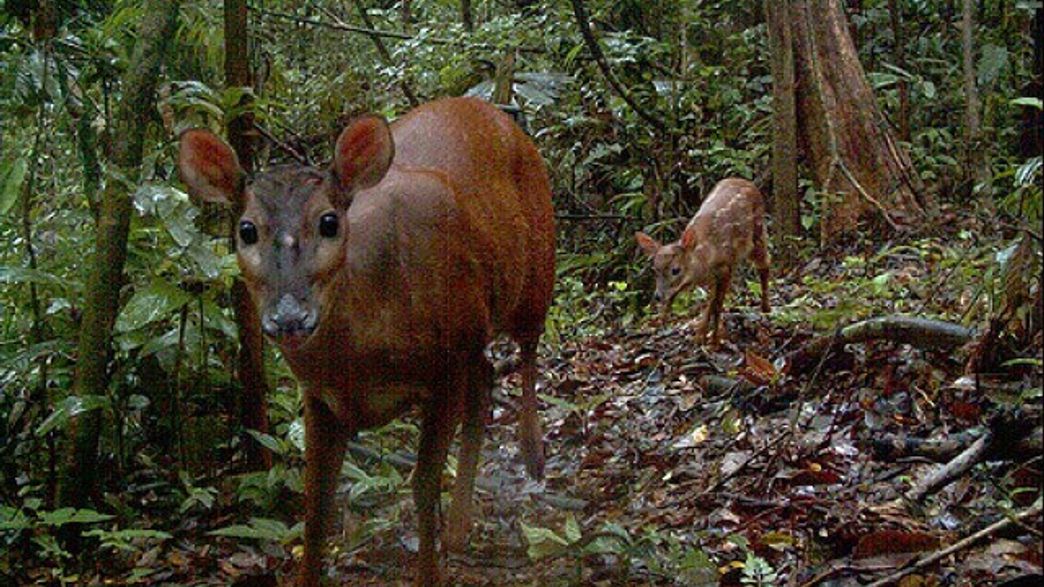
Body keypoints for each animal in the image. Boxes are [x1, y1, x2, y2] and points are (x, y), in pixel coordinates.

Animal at [177, 96, 555, 586]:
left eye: (329, 221)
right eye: (246, 230)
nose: (289, 317)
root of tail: (495, 112)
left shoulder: (444, 367)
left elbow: (423, 485)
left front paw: (429, 576)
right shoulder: (318, 395)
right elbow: (316, 504)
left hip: (534, 270)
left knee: (528, 348)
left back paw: (533, 455)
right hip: (477, 328)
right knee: (487, 380)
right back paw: (458, 529)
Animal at [635, 178, 770, 349]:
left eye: (675, 270)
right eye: (654, 269)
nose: (658, 296)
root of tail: (748, 182)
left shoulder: (724, 268)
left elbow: (717, 305)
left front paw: (713, 341)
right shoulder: (711, 276)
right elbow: (708, 301)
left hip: (757, 234)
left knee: (765, 264)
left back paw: (766, 308)